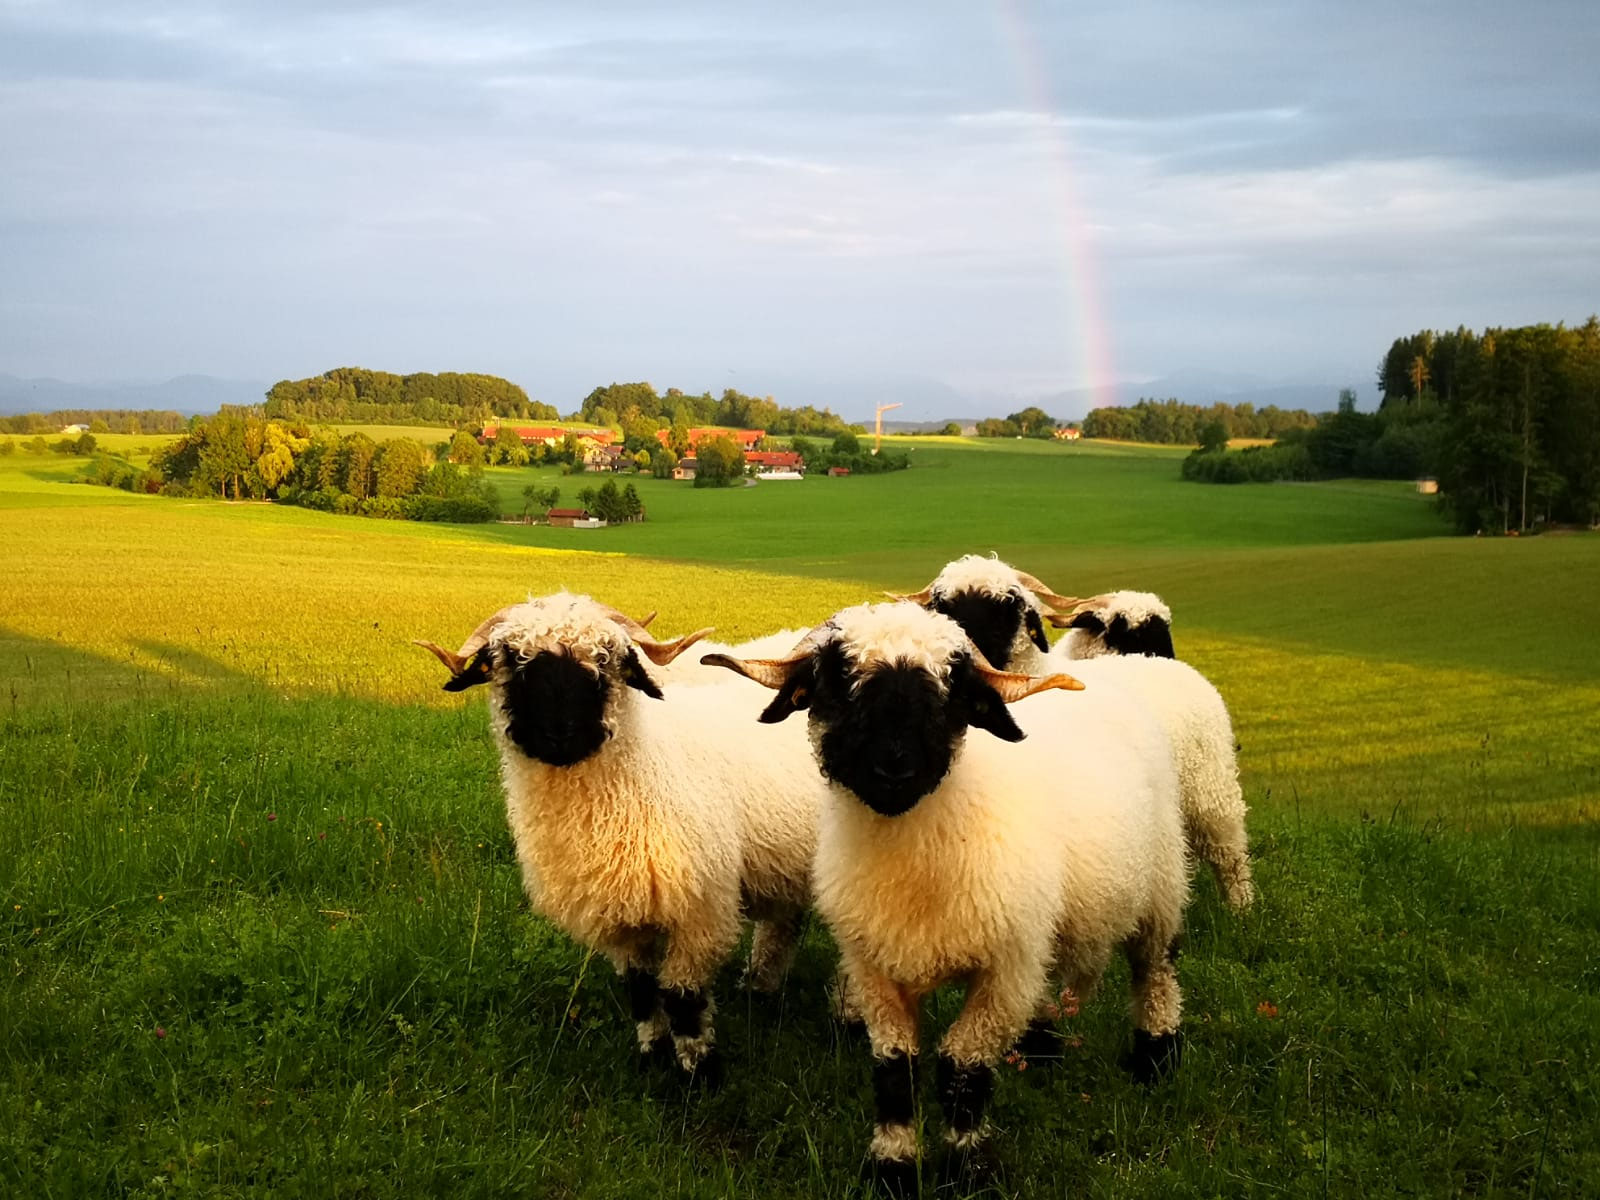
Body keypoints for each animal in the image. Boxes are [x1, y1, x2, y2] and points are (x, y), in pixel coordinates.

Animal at [415, 592, 826, 1076]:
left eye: (604, 660)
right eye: (514, 660)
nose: (560, 735)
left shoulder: (703, 911)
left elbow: (683, 999)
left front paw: (697, 1073)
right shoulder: (621, 916)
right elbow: (642, 992)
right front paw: (652, 1055)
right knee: (784, 924)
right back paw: (760, 987)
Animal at [704, 603, 1189, 1190]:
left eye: (951, 687)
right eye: (837, 679)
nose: (894, 765)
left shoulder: (1003, 971)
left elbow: (962, 1069)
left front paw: (967, 1169)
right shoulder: (875, 969)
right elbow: (895, 1069)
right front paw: (892, 1168)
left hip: (1161, 888)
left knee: (1155, 974)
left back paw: (1156, 1058)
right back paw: (1041, 1046)